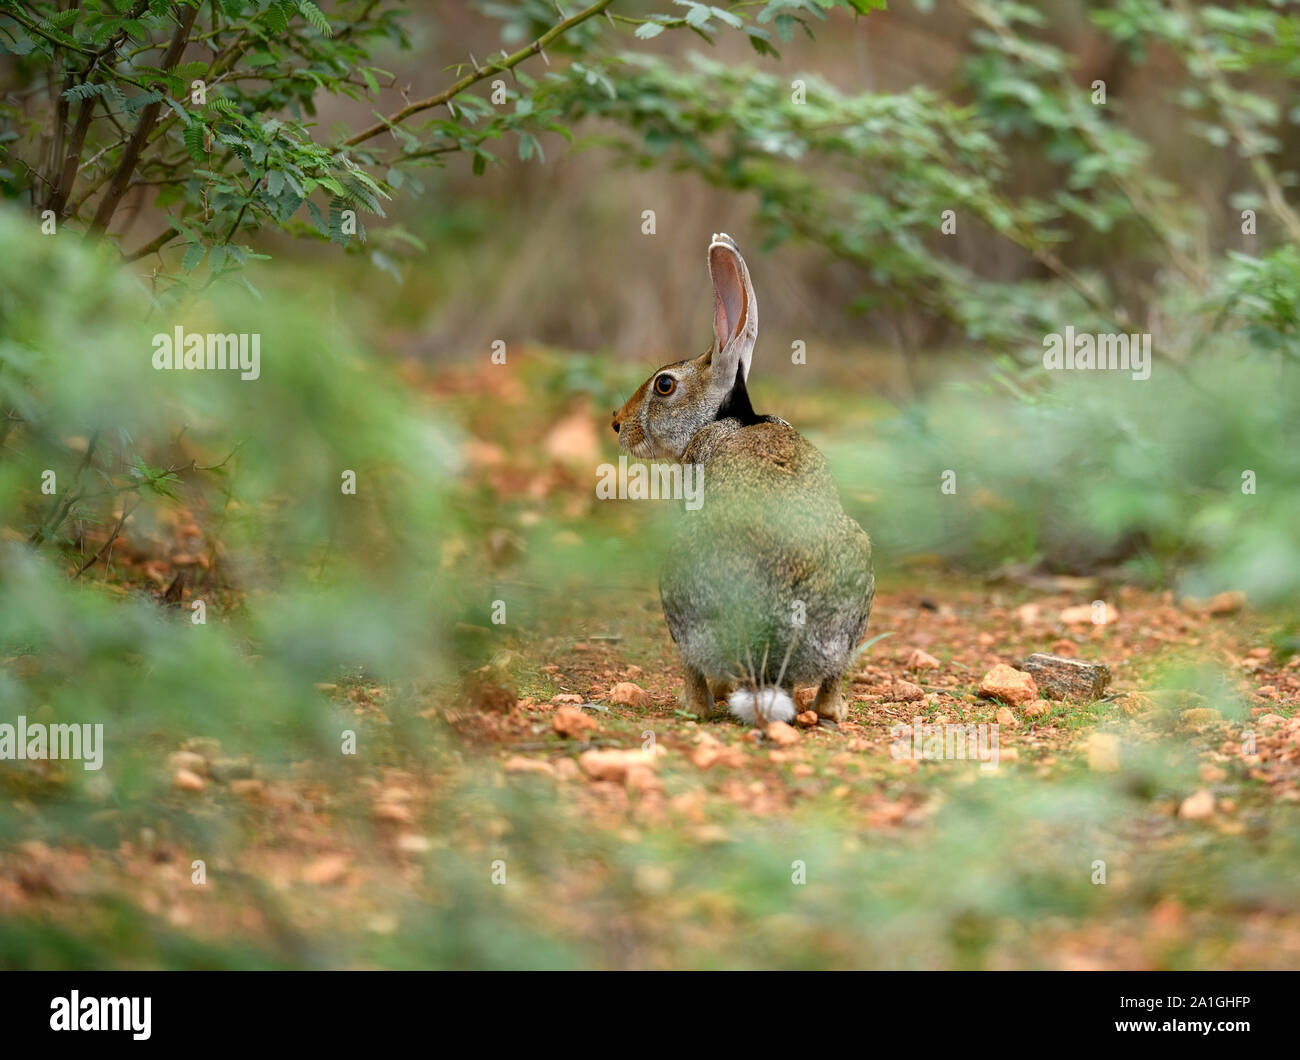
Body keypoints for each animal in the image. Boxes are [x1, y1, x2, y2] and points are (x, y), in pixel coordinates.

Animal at [611, 233, 875, 725]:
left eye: (664, 386)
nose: (617, 423)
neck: (728, 419)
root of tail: (768, 654)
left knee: (694, 668)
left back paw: (693, 705)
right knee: (832, 682)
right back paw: (832, 710)